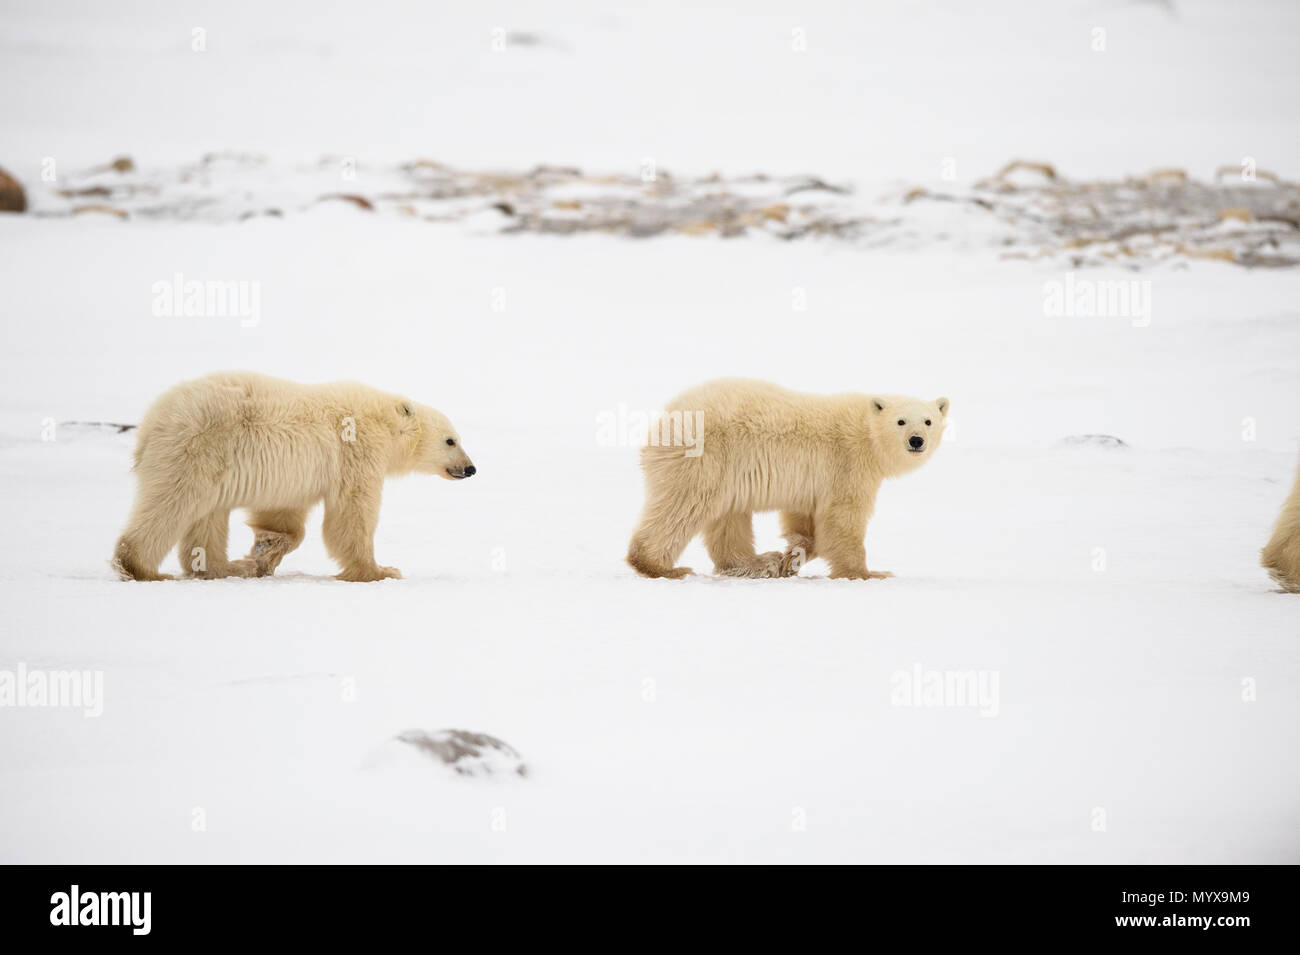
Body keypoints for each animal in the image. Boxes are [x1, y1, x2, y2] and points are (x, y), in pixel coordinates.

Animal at [111, 371, 475, 582]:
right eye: (451, 440)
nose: (471, 468)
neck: (381, 421)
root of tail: (151, 422)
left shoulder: (296, 475)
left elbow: (284, 516)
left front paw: (263, 552)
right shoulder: (354, 453)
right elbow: (352, 513)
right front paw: (380, 570)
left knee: (208, 516)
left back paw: (224, 567)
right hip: (197, 449)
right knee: (172, 504)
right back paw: (140, 567)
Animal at [626, 378, 948, 580]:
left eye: (928, 421)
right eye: (901, 421)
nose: (917, 440)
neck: (865, 434)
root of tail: (666, 419)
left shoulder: (812, 482)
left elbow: (803, 519)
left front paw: (793, 557)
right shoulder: (847, 465)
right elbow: (842, 518)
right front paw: (868, 573)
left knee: (729, 517)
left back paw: (757, 563)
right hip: (707, 457)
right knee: (683, 506)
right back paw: (660, 567)